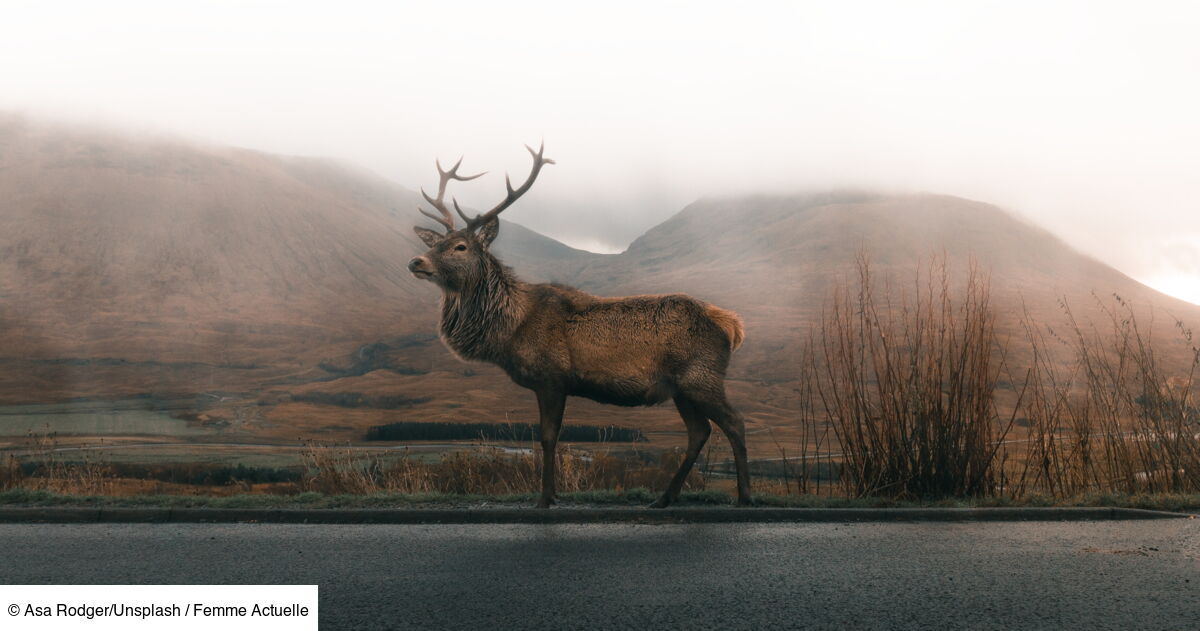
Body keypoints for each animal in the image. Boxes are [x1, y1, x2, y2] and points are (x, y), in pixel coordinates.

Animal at [407, 143, 751, 508]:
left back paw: (744, 496)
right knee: (699, 431)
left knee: (734, 422)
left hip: (701, 376)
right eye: (433, 244)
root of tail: (732, 325)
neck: (509, 330)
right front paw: (553, 493)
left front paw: (545, 498)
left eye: (460, 246)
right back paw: (663, 498)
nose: (416, 261)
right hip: (681, 388)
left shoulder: (552, 377)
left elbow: (547, 437)